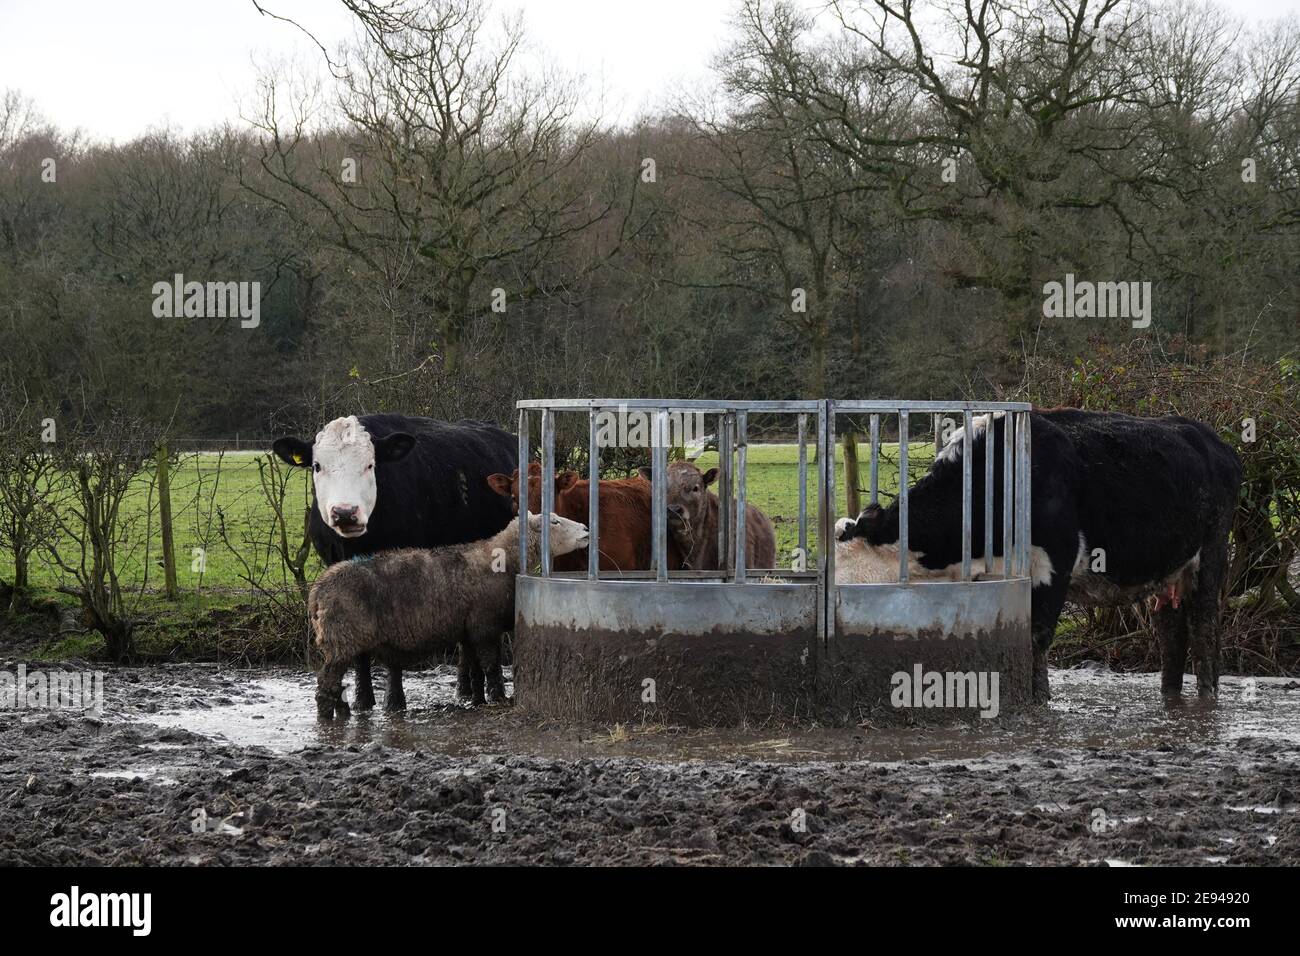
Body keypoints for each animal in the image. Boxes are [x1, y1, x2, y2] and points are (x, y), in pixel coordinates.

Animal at [273, 413, 517, 710]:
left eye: (370, 465)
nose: (345, 513)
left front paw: (394, 701)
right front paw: (363, 700)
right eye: (317, 466)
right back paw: (466, 690)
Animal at [838, 409, 1242, 703]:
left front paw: (1038, 699)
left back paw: (1207, 695)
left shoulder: (1053, 565)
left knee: (1204, 625)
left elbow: (1037, 636)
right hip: (1166, 571)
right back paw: (1170, 695)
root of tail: (1210, 438)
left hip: (1212, 554)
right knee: (1170, 629)